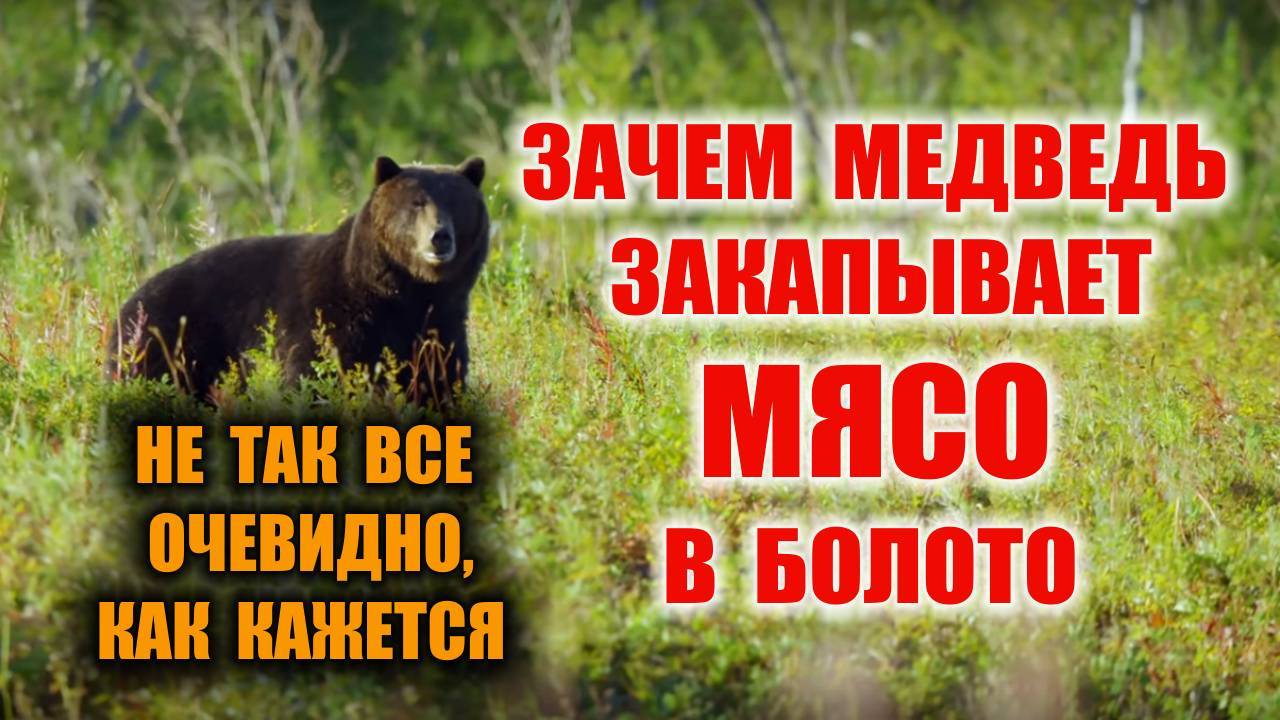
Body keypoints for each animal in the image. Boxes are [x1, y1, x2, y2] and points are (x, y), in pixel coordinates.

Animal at [107, 155, 489, 405]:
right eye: (416, 202)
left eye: (456, 203)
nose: (439, 237)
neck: (400, 292)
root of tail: (127, 305)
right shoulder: (329, 315)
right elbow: (313, 373)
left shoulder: (441, 321)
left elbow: (439, 378)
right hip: (167, 344)